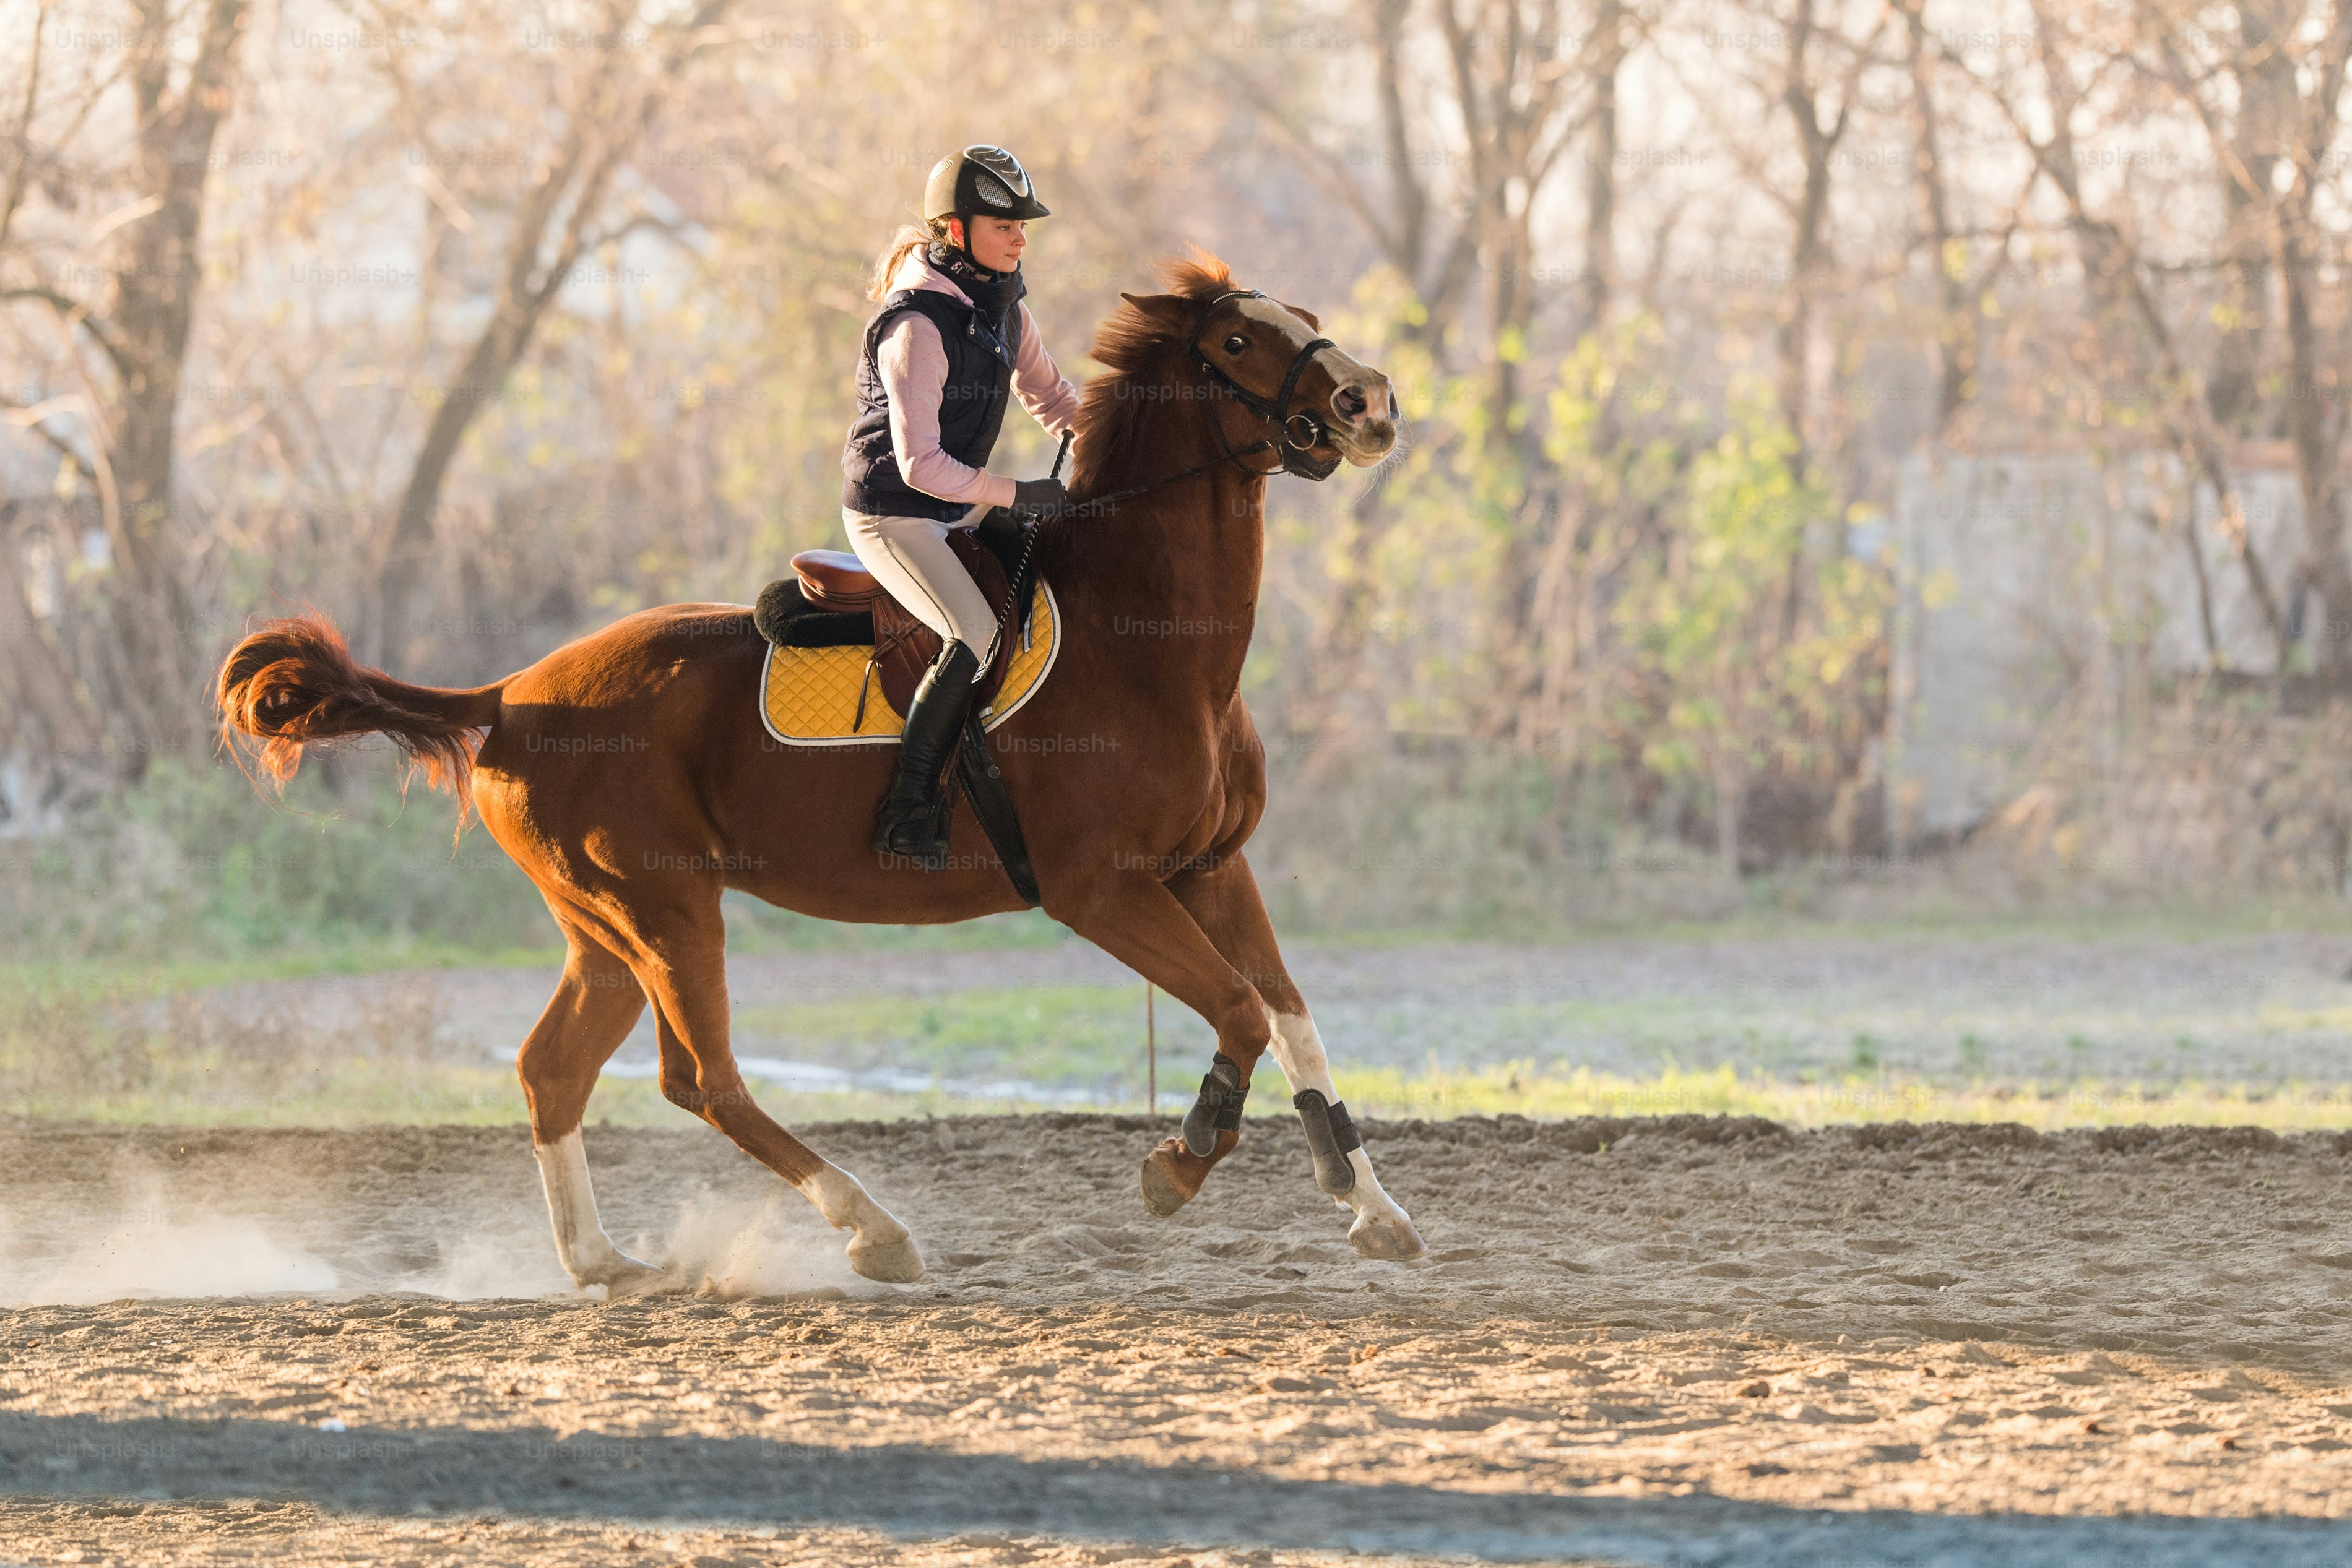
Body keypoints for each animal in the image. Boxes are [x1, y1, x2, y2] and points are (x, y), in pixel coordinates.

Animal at [214, 252, 1427, 1292]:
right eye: (1239, 338)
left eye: (1308, 320)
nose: (1373, 402)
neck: (1150, 643)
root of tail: (510, 693)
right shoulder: (1105, 890)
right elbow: (1240, 1012)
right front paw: (1180, 1162)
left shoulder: (1210, 868)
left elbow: (1292, 1016)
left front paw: (1370, 1207)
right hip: (664, 913)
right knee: (701, 1079)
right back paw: (871, 1227)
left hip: (605, 929)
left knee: (553, 1068)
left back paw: (605, 1262)